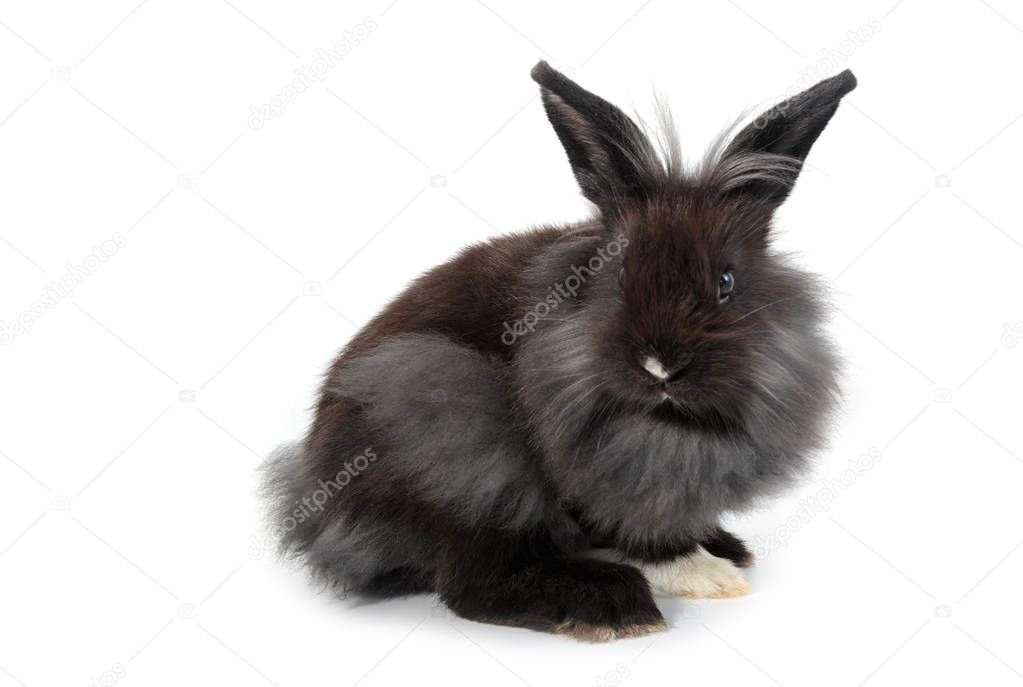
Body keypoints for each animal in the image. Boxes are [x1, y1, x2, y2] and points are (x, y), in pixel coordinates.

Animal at [262, 60, 855, 642]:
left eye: (726, 282)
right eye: (620, 275)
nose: (662, 366)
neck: (666, 422)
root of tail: (315, 506)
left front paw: (711, 549)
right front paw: (701, 573)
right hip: (436, 410)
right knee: (471, 580)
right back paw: (612, 604)